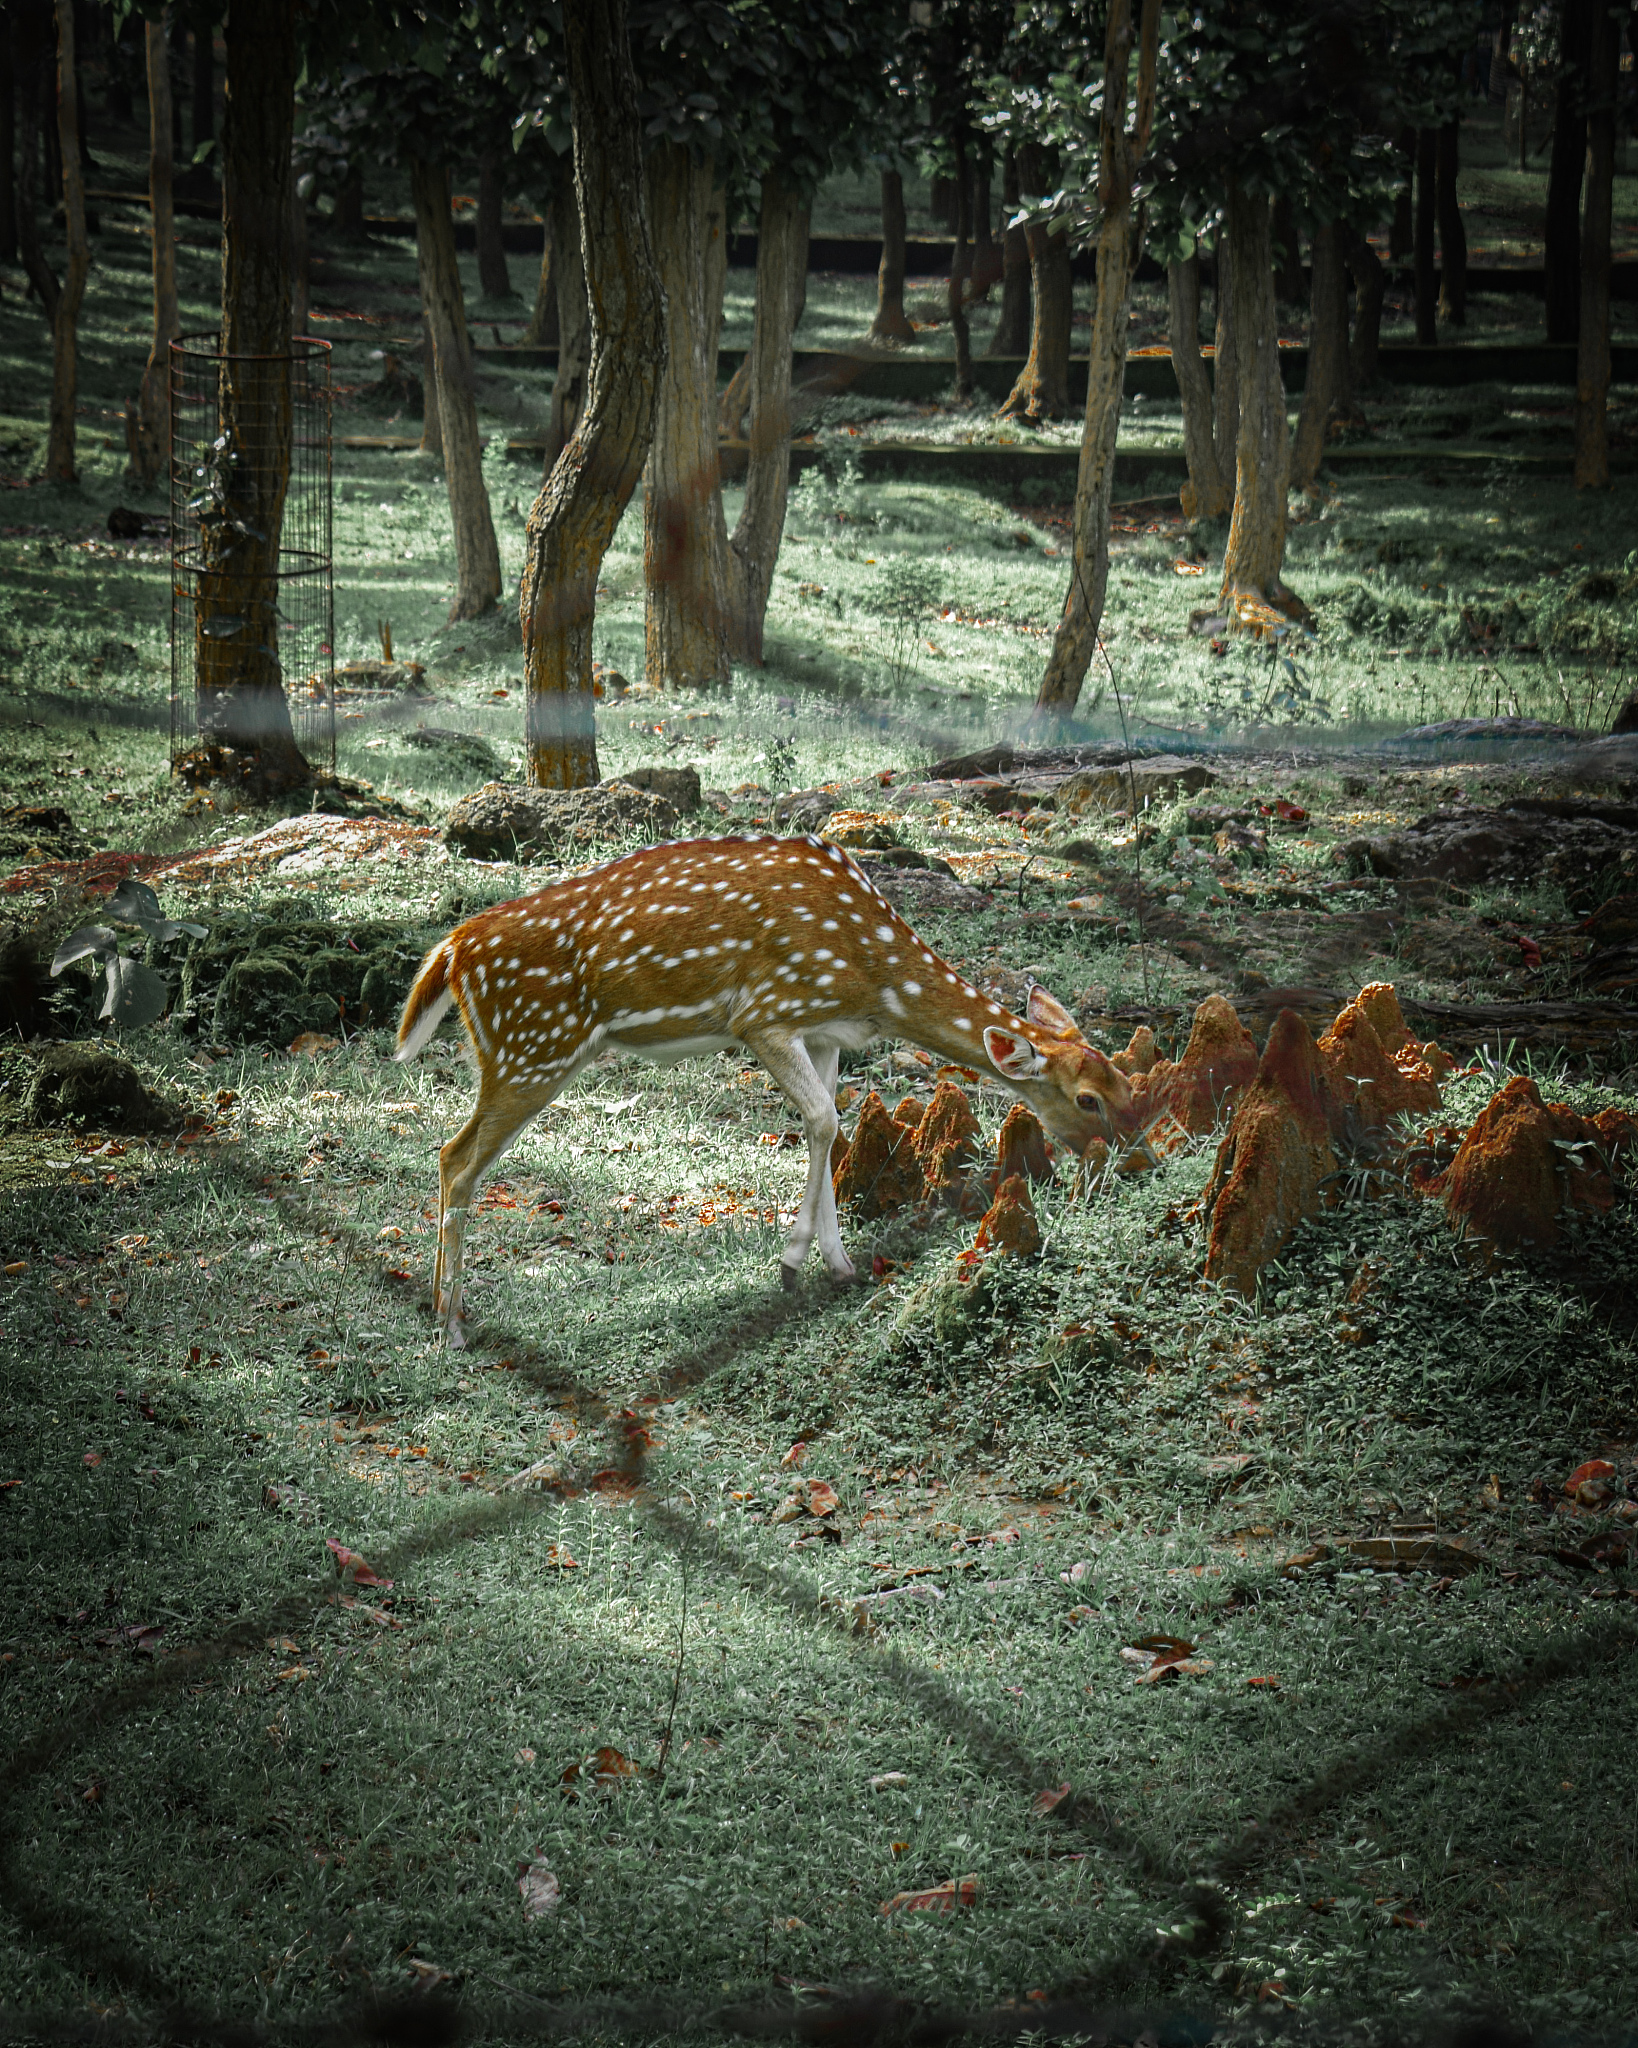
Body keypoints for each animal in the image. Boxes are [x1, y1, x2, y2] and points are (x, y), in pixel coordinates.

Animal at [396, 834, 1131, 1346]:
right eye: (1087, 1098)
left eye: (1123, 1078)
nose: (1127, 1160)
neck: (875, 980)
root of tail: (453, 949)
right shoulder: (765, 1014)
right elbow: (823, 1121)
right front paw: (793, 1263)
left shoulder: (825, 1032)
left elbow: (827, 1126)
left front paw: (839, 1265)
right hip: (532, 1048)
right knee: (456, 1157)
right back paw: (451, 1322)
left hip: (521, 1051)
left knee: (451, 1151)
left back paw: (444, 1308)